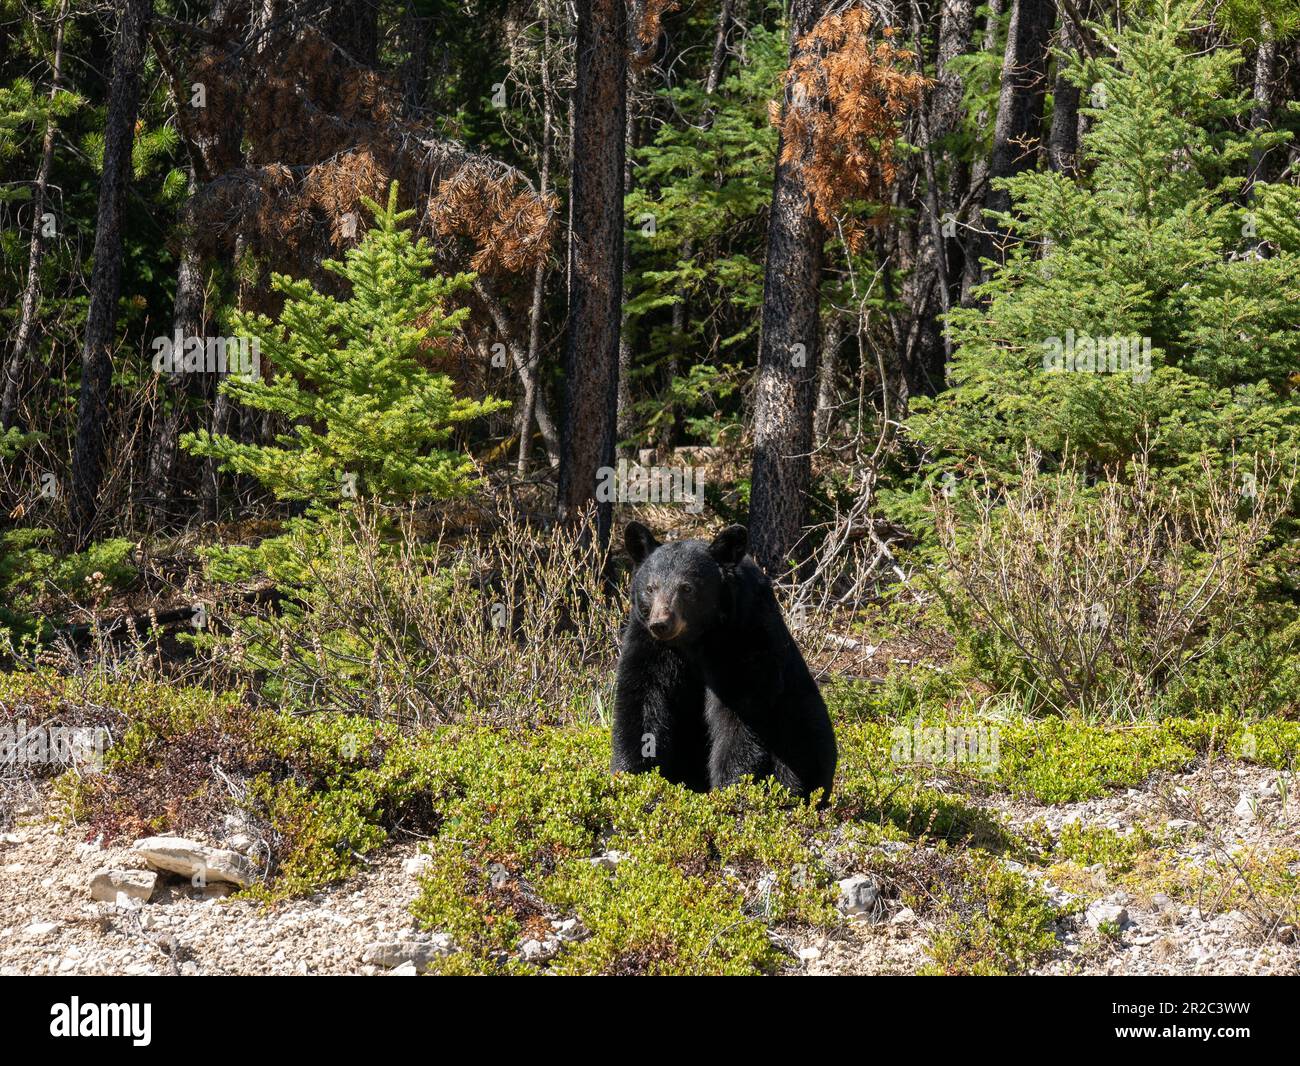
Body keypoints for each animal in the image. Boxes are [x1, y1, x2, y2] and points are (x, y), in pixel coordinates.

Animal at [610, 521, 837, 805]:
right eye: (650, 588)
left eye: (686, 588)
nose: (661, 623)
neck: (696, 640)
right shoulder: (649, 643)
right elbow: (643, 699)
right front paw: (632, 775)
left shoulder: (745, 637)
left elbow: (740, 715)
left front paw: (729, 788)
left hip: (804, 720)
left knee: (801, 749)